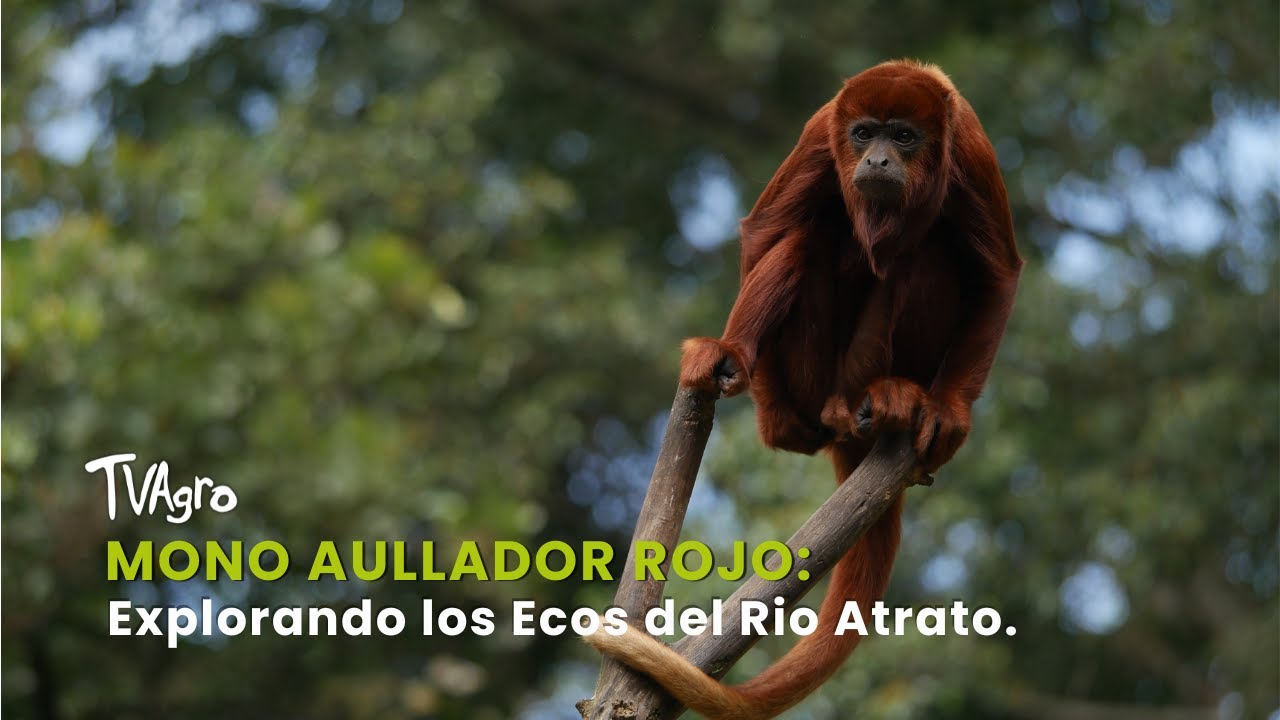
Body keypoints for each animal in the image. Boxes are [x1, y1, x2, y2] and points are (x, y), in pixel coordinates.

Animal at [585, 60, 1022, 719]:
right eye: (864, 134)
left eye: (905, 137)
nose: (879, 160)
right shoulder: (822, 133)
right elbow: (766, 230)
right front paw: (740, 366)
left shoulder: (972, 151)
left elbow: (996, 275)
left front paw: (947, 413)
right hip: (806, 378)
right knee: (804, 239)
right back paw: (766, 380)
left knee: (928, 255)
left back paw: (888, 398)